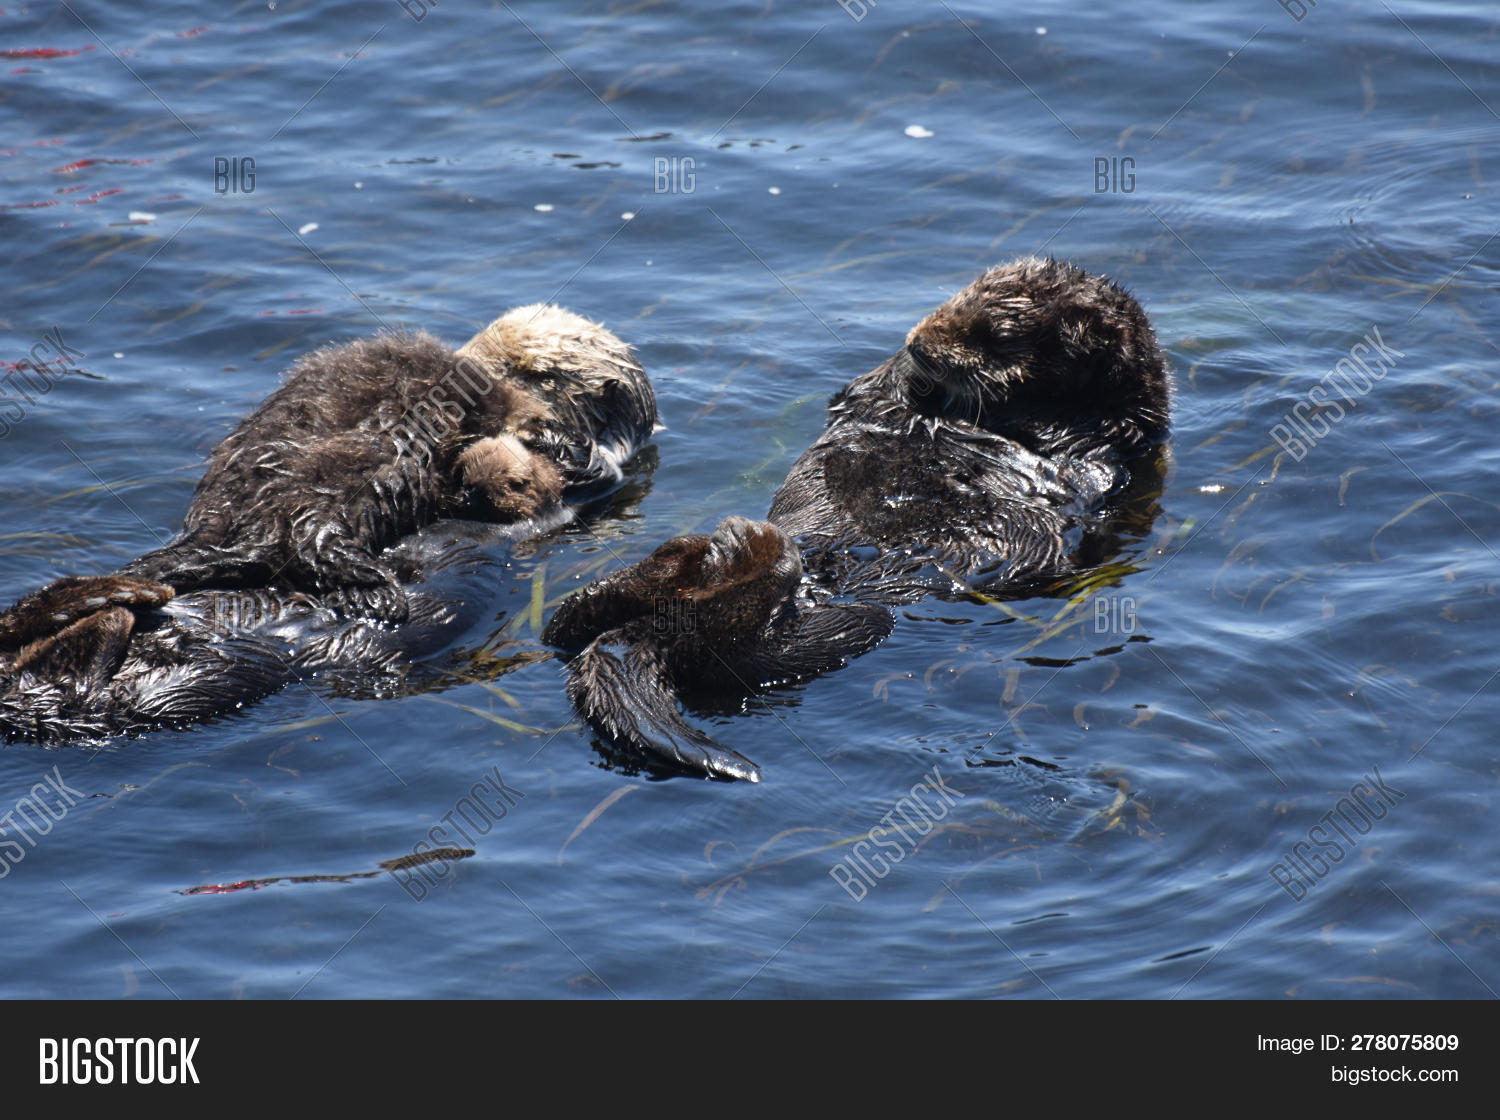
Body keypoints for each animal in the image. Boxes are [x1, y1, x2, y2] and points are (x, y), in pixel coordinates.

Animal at [543, 257, 1170, 781]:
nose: (921, 344)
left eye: (995, 337)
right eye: (957, 300)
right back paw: (710, 554)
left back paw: (739, 552)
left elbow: (1078, 446)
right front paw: (915, 383)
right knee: (572, 625)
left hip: (848, 628)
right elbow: (869, 393)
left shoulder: (1121, 440)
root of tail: (656, 632)